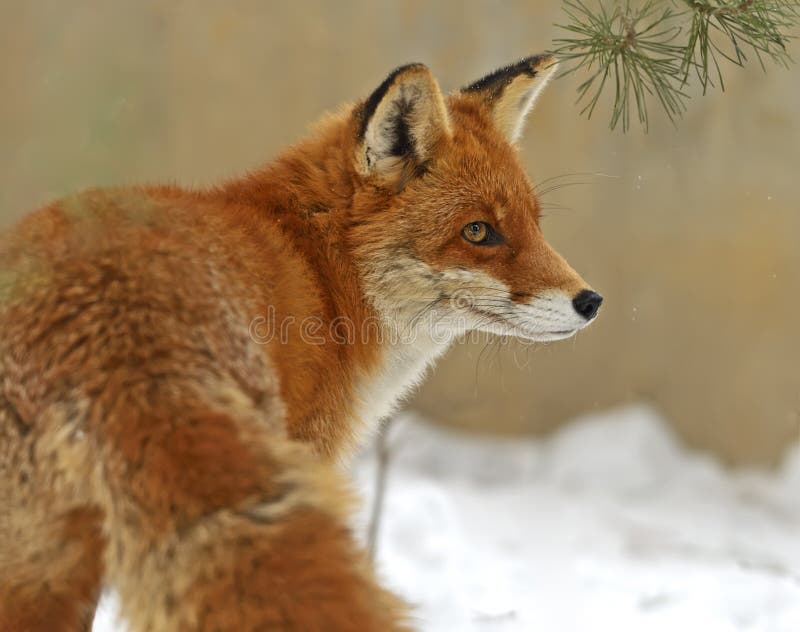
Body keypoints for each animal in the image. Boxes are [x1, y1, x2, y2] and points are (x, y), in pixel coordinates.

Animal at [0, 54, 602, 631]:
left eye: (535, 224)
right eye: (478, 232)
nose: (591, 301)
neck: (326, 273)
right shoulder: (312, 446)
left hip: (41, 560)